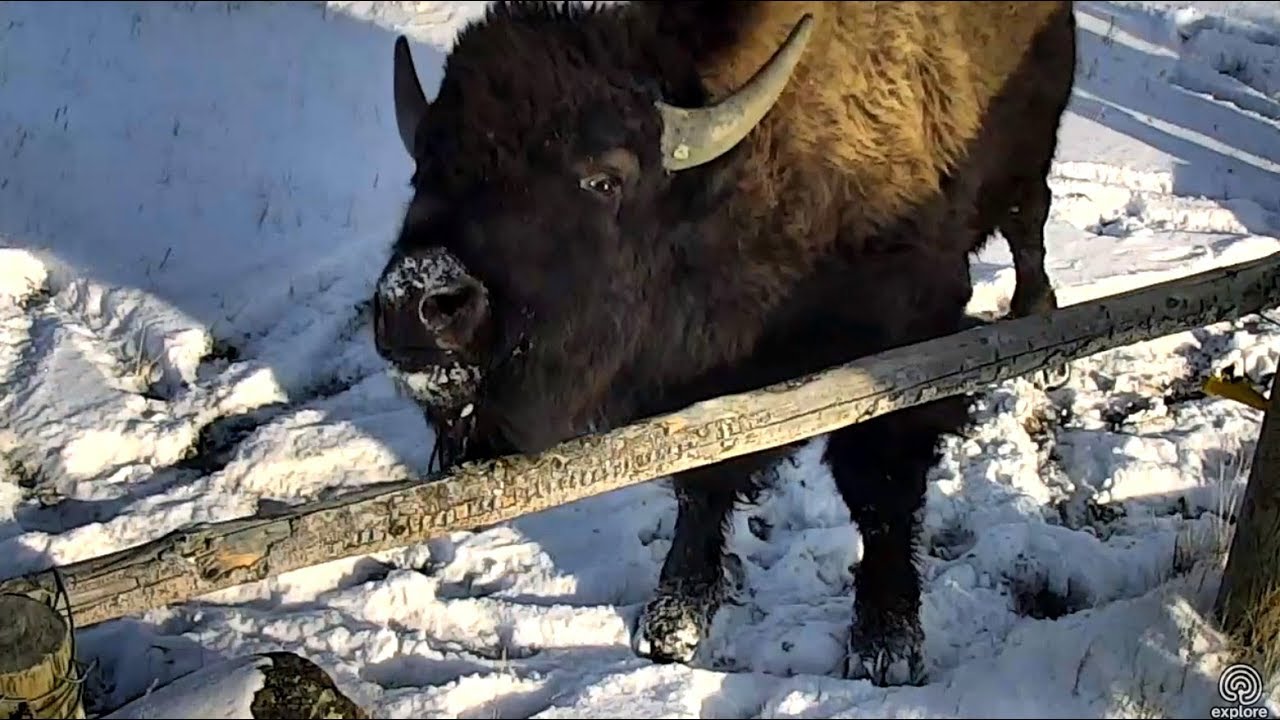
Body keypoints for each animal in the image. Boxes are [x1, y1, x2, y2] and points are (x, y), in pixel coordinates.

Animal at [372, 0, 1077, 686]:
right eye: (423, 168)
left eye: (604, 179)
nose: (418, 302)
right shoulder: (702, 384)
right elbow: (703, 485)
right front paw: (672, 621)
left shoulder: (900, 352)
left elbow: (880, 490)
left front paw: (887, 645)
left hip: (1027, 164)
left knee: (1029, 228)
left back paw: (1040, 337)